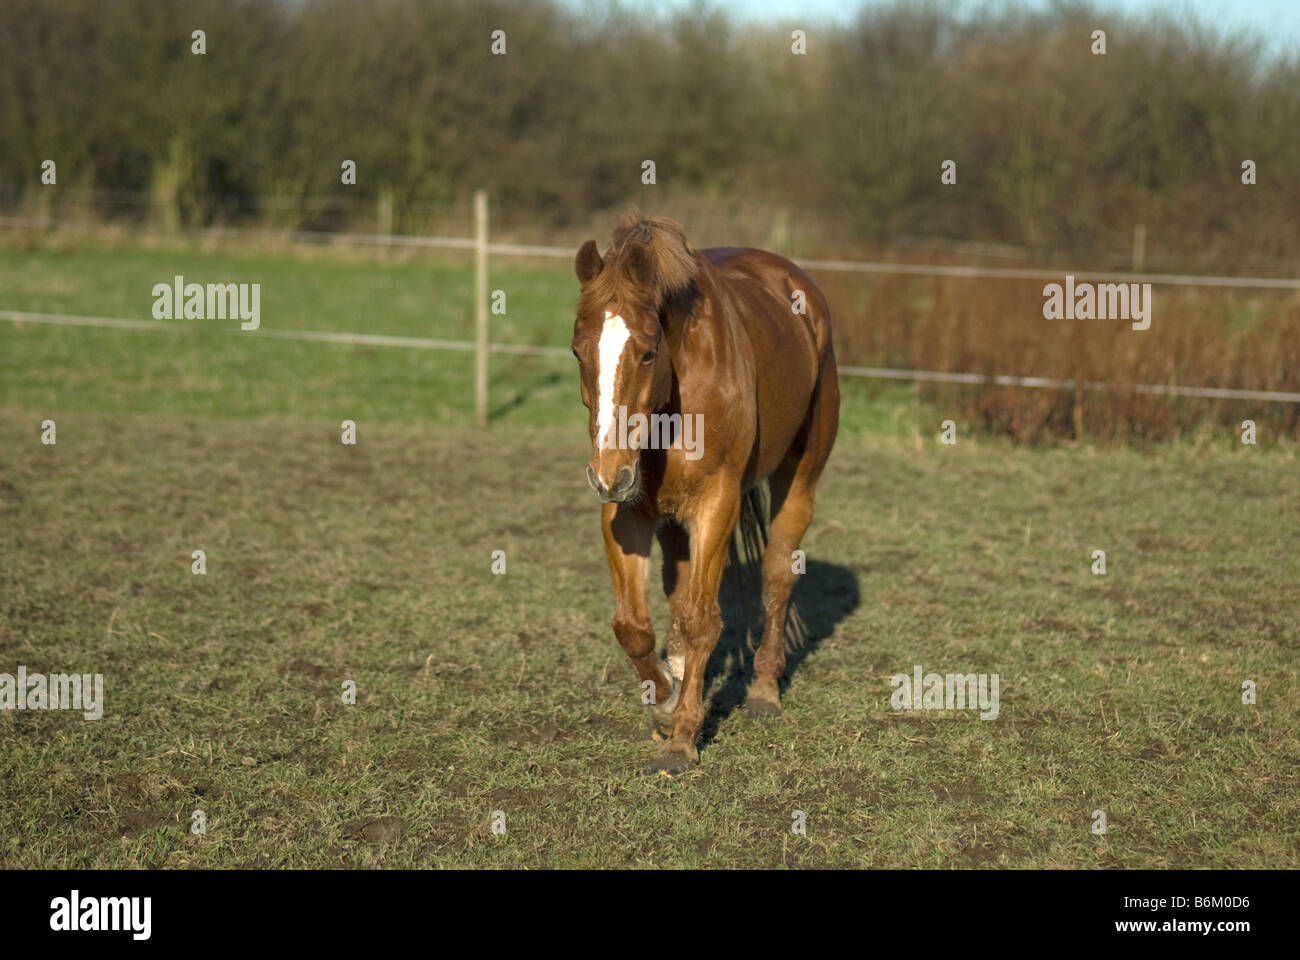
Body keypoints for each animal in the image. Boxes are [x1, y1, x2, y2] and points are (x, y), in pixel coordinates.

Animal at [571, 211, 839, 774]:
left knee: (776, 577)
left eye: (648, 352)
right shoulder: (625, 512)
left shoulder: (716, 505)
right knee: (677, 593)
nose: (605, 474)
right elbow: (633, 625)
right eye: (577, 351)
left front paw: (682, 739)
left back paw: (764, 691)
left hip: (798, 481)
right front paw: (666, 703)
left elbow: (700, 622)